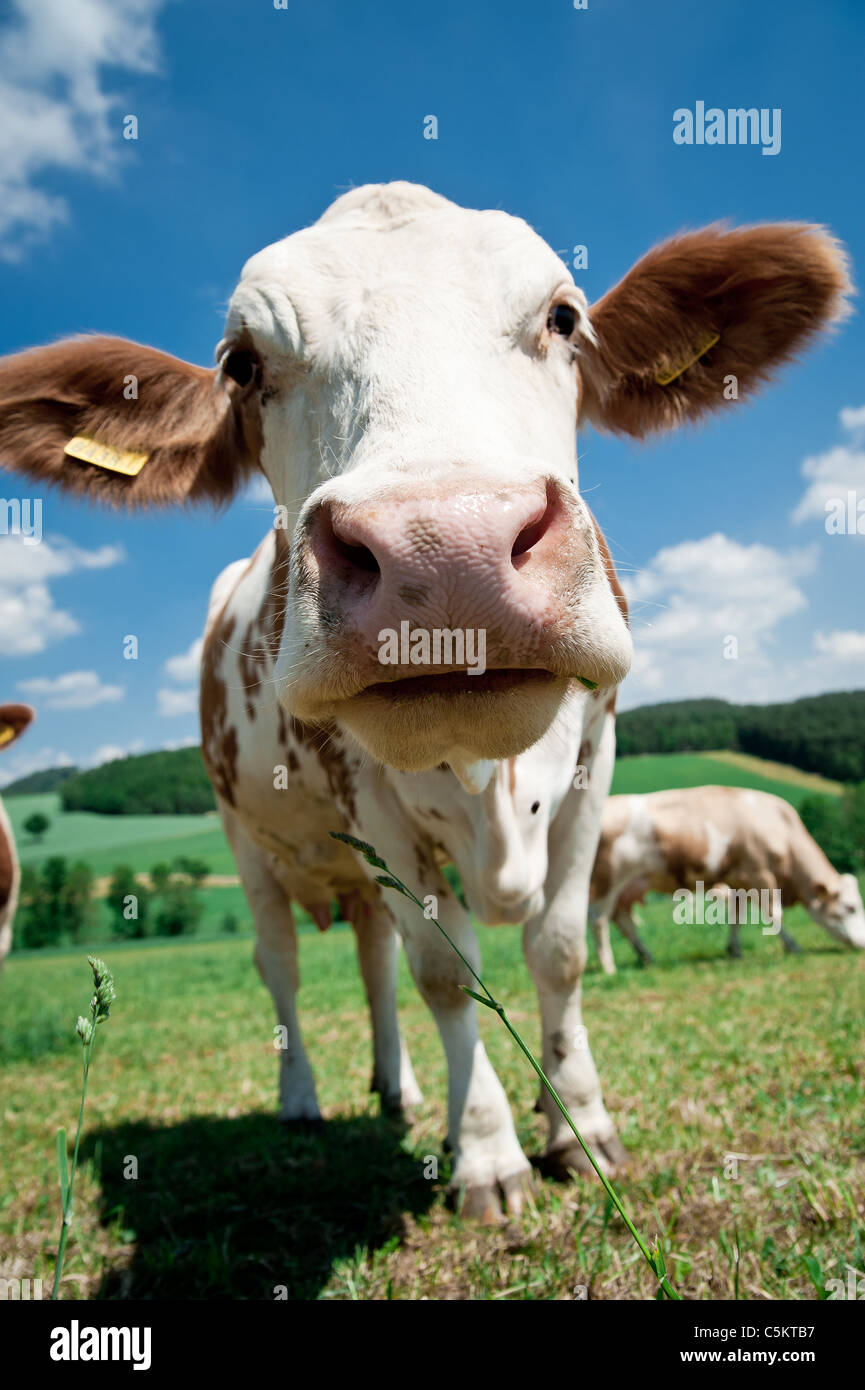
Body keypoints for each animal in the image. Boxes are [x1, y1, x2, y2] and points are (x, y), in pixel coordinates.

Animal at [589, 784, 865, 974]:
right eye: (851, 907)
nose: (862, 944)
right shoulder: (759, 874)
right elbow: (774, 914)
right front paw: (793, 947)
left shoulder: (737, 883)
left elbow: (737, 918)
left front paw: (734, 950)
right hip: (606, 882)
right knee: (599, 921)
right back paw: (609, 966)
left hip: (626, 889)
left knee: (624, 921)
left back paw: (646, 957)